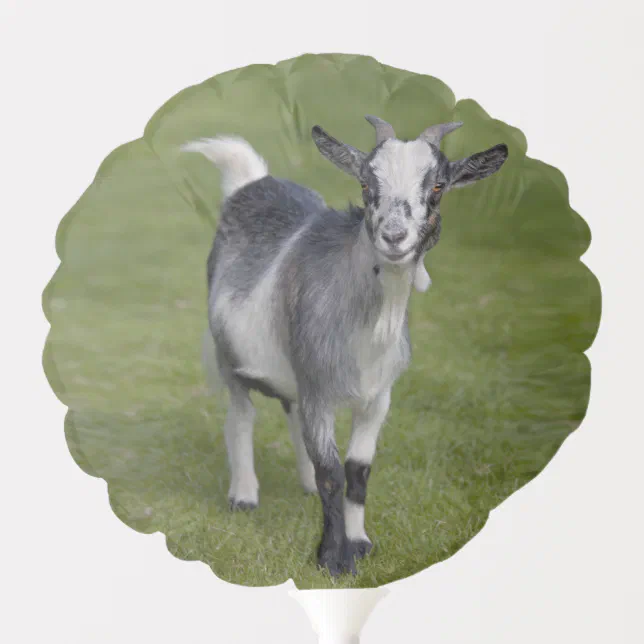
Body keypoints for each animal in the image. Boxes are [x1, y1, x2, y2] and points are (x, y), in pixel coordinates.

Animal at [182, 117, 508, 576]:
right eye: (366, 184)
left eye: (438, 185)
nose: (394, 236)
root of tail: (252, 182)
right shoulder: (319, 388)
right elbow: (332, 473)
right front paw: (331, 560)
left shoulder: (378, 396)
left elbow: (357, 472)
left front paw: (360, 544)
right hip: (230, 358)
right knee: (241, 416)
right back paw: (244, 495)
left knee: (291, 415)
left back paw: (301, 484)